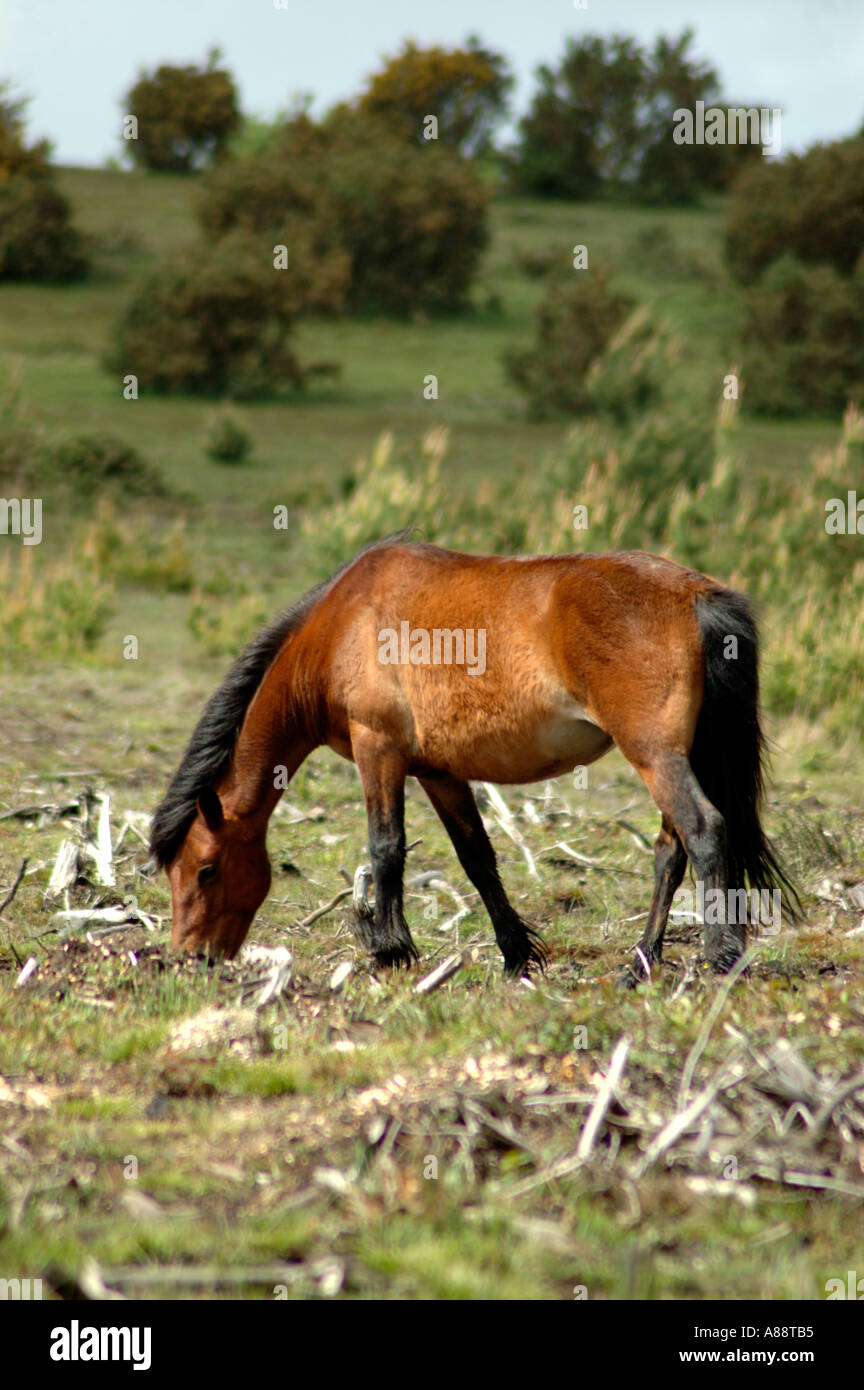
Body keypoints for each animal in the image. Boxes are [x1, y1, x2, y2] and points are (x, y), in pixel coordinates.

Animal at [150, 535, 799, 982]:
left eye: (206, 870)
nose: (190, 958)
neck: (341, 627)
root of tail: (696, 594)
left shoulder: (377, 748)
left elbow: (385, 849)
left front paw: (391, 951)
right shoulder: (439, 771)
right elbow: (476, 858)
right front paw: (516, 957)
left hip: (655, 755)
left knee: (703, 831)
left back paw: (718, 958)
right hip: (675, 755)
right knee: (672, 849)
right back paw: (640, 961)